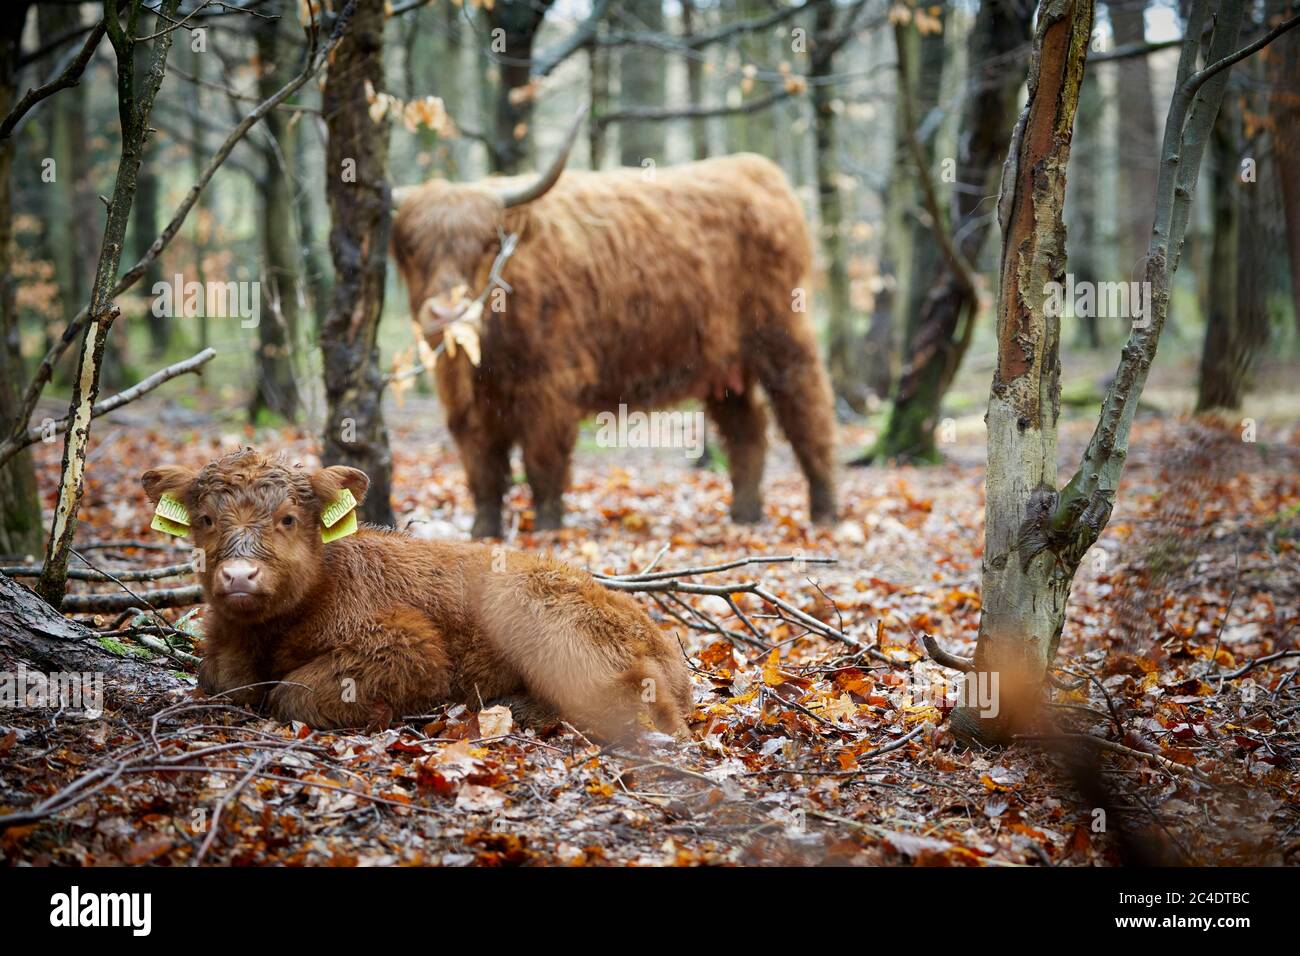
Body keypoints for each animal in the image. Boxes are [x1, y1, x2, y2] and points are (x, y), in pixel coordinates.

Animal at [141, 449, 693, 738]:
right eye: (205, 519)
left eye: (288, 519)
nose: (239, 576)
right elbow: (219, 680)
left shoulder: (409, 646)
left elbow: (291, 693)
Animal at [391, 114, 837, 538]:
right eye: (411, 246)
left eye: (487, 243)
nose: (446, 314)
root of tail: (757, 170)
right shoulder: (470, 409)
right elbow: (482, 470)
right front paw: (482, 534)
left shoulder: (549, 386)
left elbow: (542, 462)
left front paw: (549, 529)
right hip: (724, 364)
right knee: (748, 431)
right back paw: (744, 515)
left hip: (783, 336)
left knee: (807, 412)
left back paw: (825, 511)